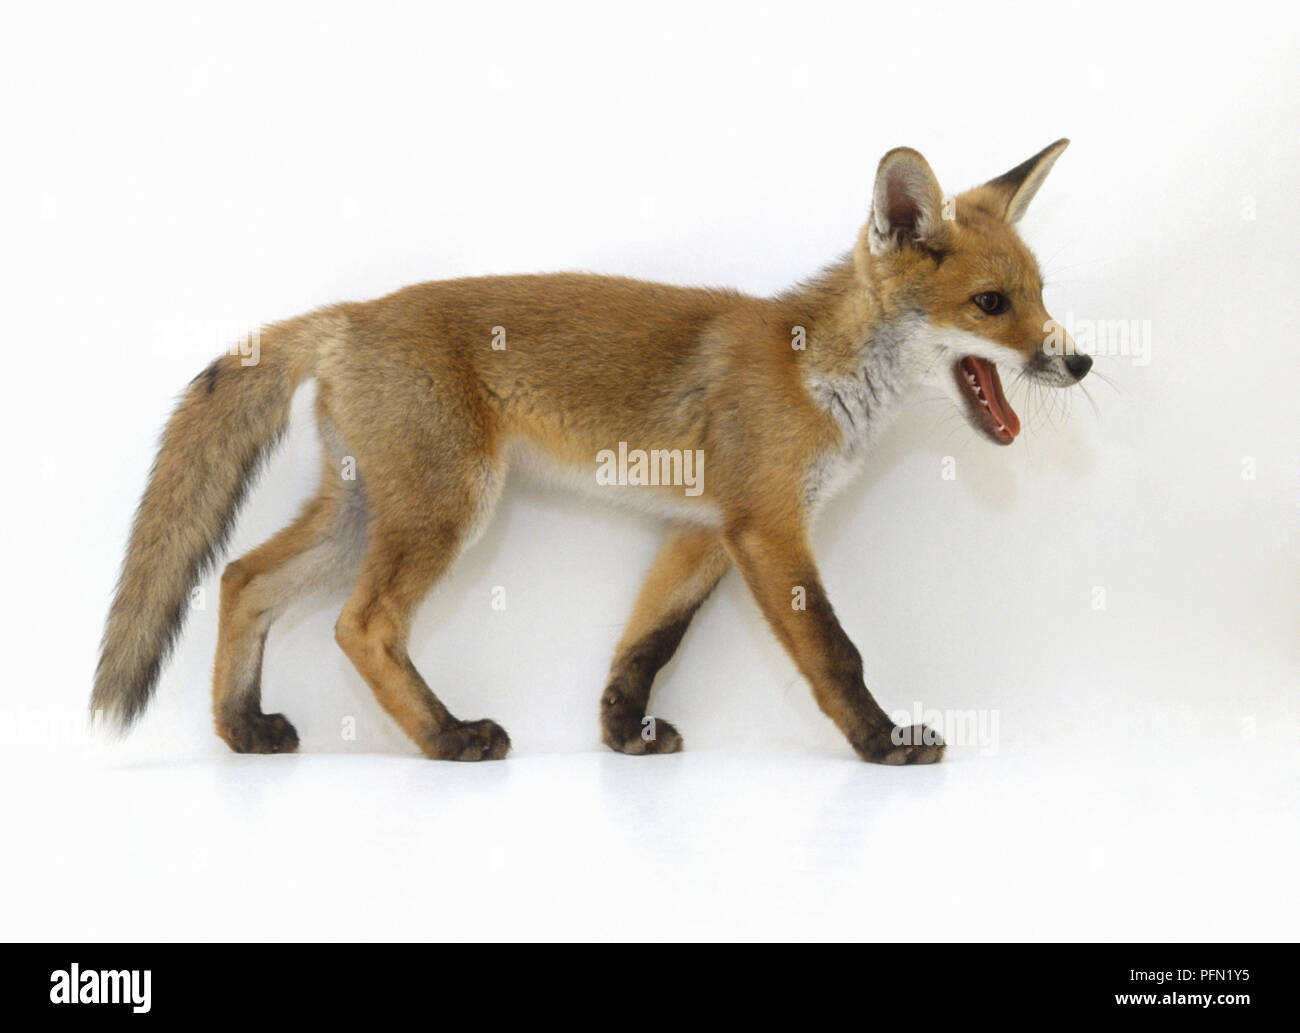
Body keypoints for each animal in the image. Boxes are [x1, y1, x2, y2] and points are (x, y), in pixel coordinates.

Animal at [92, 139, 1088, 765]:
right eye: (992, 304)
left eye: (1042, 295)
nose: (1078, 360)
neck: (821, 371)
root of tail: (352, 314)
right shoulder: (769, 527)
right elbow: (837, 654)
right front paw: (883, 743)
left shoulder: (706, 529)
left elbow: (645, 643)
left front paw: (622, 737)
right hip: (446, 508)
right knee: (360, 624)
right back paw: (447, 738)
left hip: (364, 510)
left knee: (243, 578)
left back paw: (241, 729)